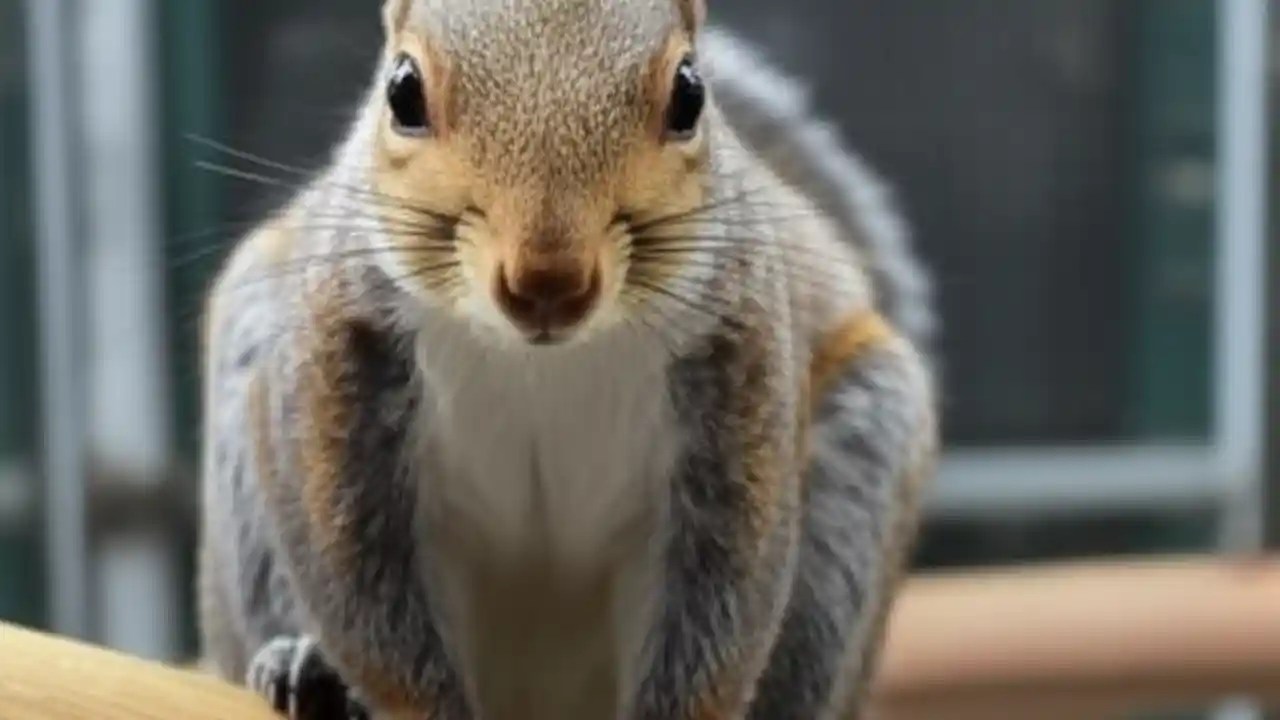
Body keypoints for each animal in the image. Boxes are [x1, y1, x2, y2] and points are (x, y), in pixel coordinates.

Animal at [197, 1, 938, 719]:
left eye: (690, 95)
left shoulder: (737, 376)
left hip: (859, 469)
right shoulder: (339, 374)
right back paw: (305, 664)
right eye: (402, 92)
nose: (547, 281)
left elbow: (716, 616)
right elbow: (368, 600)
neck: (539, 362)